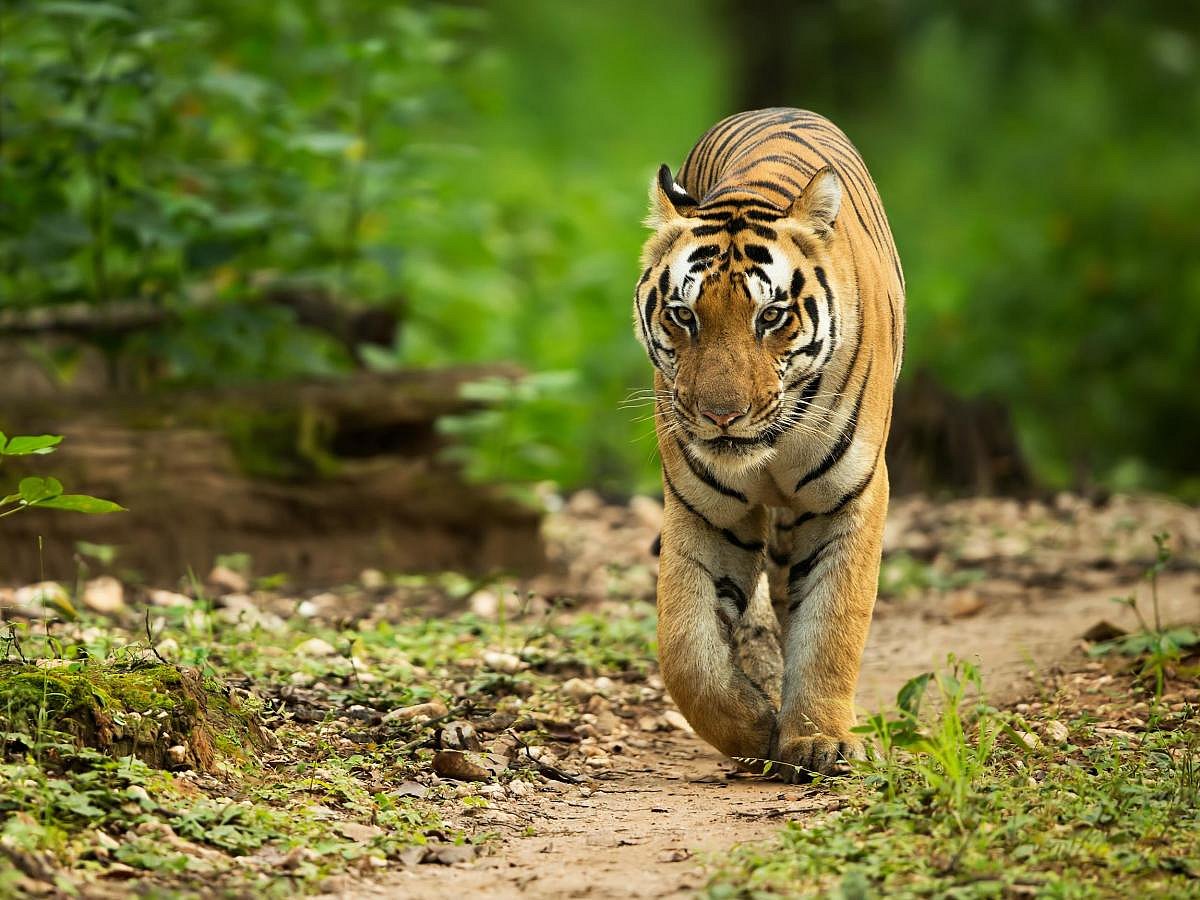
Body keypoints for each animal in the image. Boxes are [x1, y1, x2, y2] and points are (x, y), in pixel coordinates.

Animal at [632, 108, 904, 780]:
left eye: (771, 316)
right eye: (684, 315)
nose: (721, 415)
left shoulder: (849, 498)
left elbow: (832, 624)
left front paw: (818, 740)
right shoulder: (705, 509)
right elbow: (685, 648)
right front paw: (754, 728)